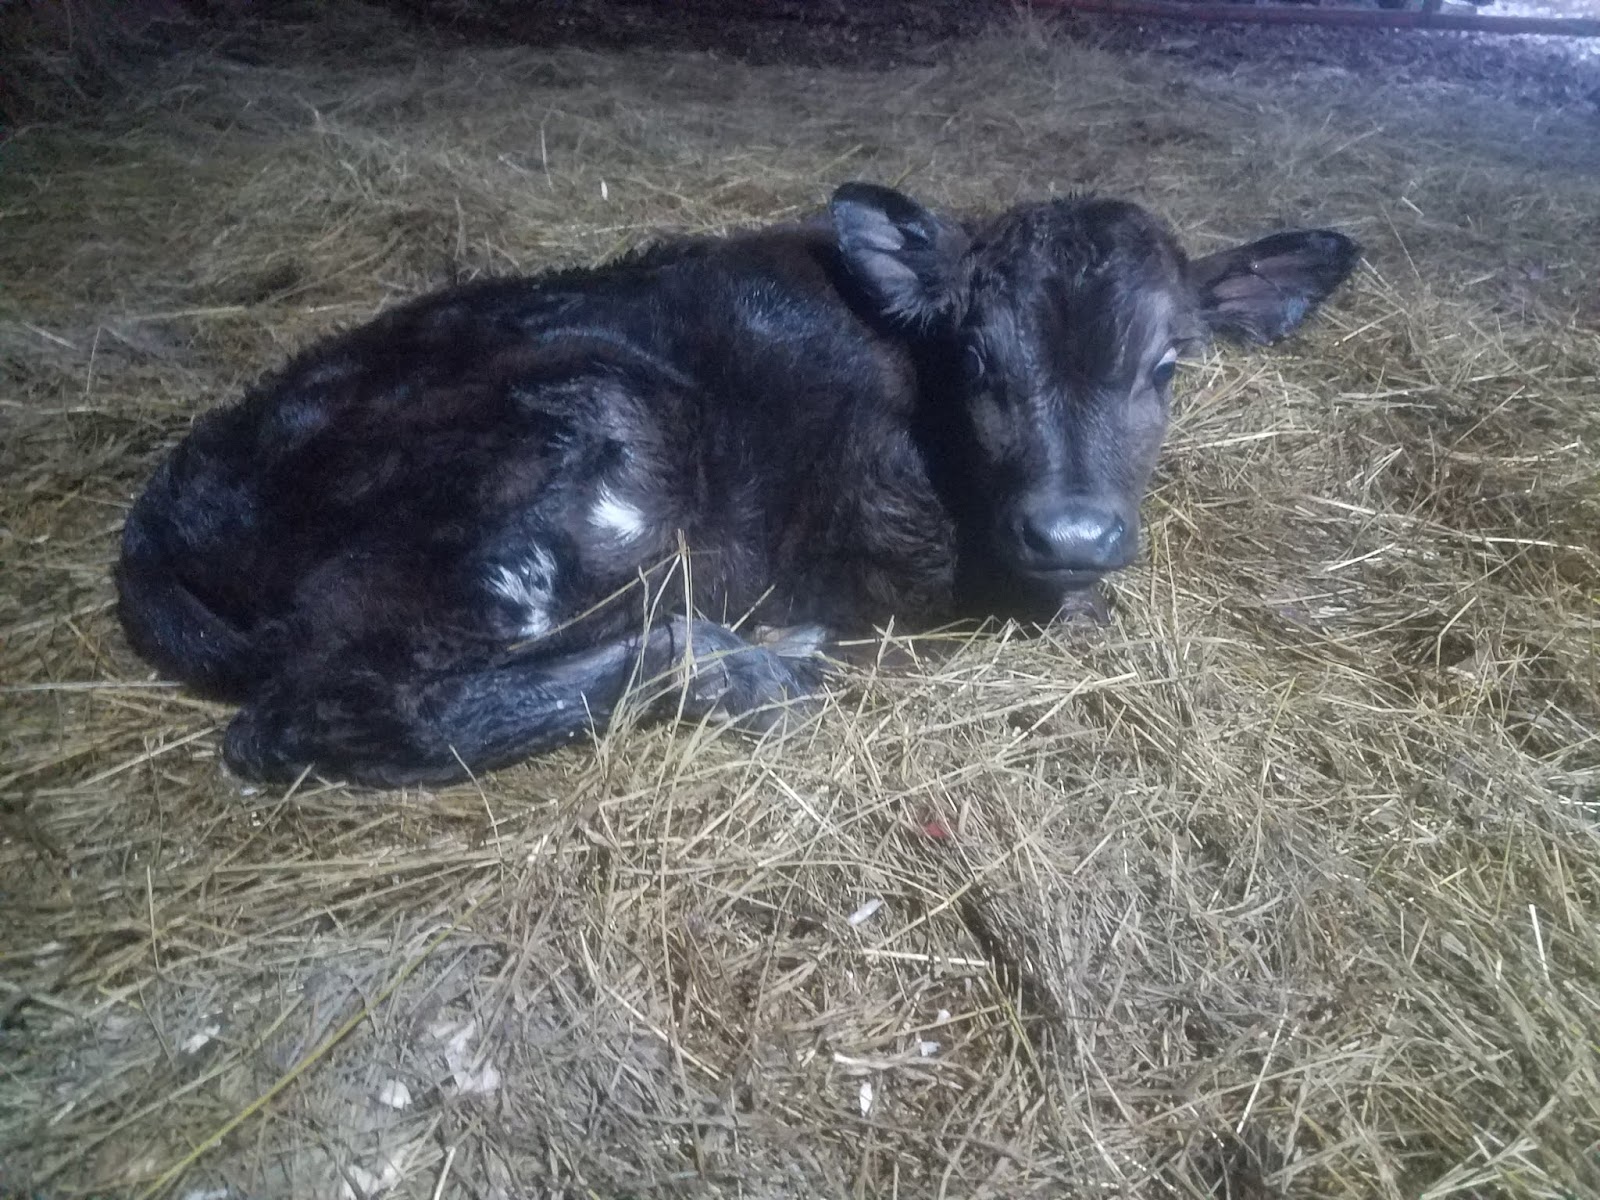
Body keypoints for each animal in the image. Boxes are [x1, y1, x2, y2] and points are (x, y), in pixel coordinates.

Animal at [116, 182, 1359, 788]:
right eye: (978, 359)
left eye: (1168, 364)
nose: (1072, 530)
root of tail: (168, 511)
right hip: (564, 458)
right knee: (330, 714)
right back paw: (749, 666)